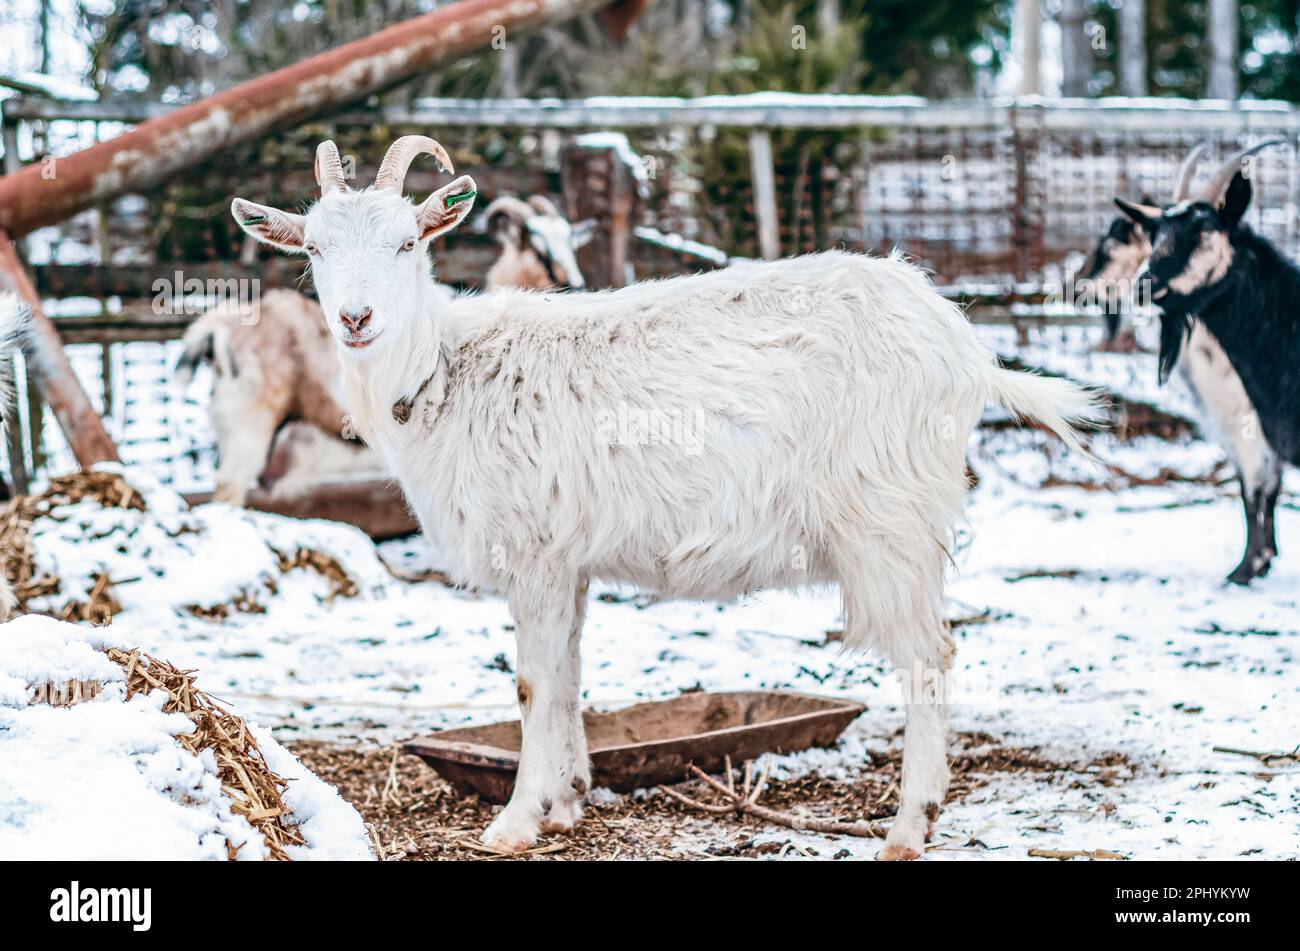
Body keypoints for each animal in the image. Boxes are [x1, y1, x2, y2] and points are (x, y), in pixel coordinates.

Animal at [231, 135, 1101, 860]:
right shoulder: (569, 563)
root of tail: (966, 347)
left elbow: (531, 682)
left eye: (407, 242)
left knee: (929, 658)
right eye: (314, 248)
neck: (447, 370)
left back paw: (909, 825)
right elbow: (569, 673)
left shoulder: (535, 551)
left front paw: (514, 821)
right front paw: (568, 802)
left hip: (890, 519)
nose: (355, 317)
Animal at [1091, 143, 1284, 585]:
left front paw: (1250, 567)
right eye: (1155, 235)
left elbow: (1259, 487)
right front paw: (1258, 563)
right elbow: (1255, 488)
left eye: (1201, 232)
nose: (1086, 287)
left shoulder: (1250, 426)